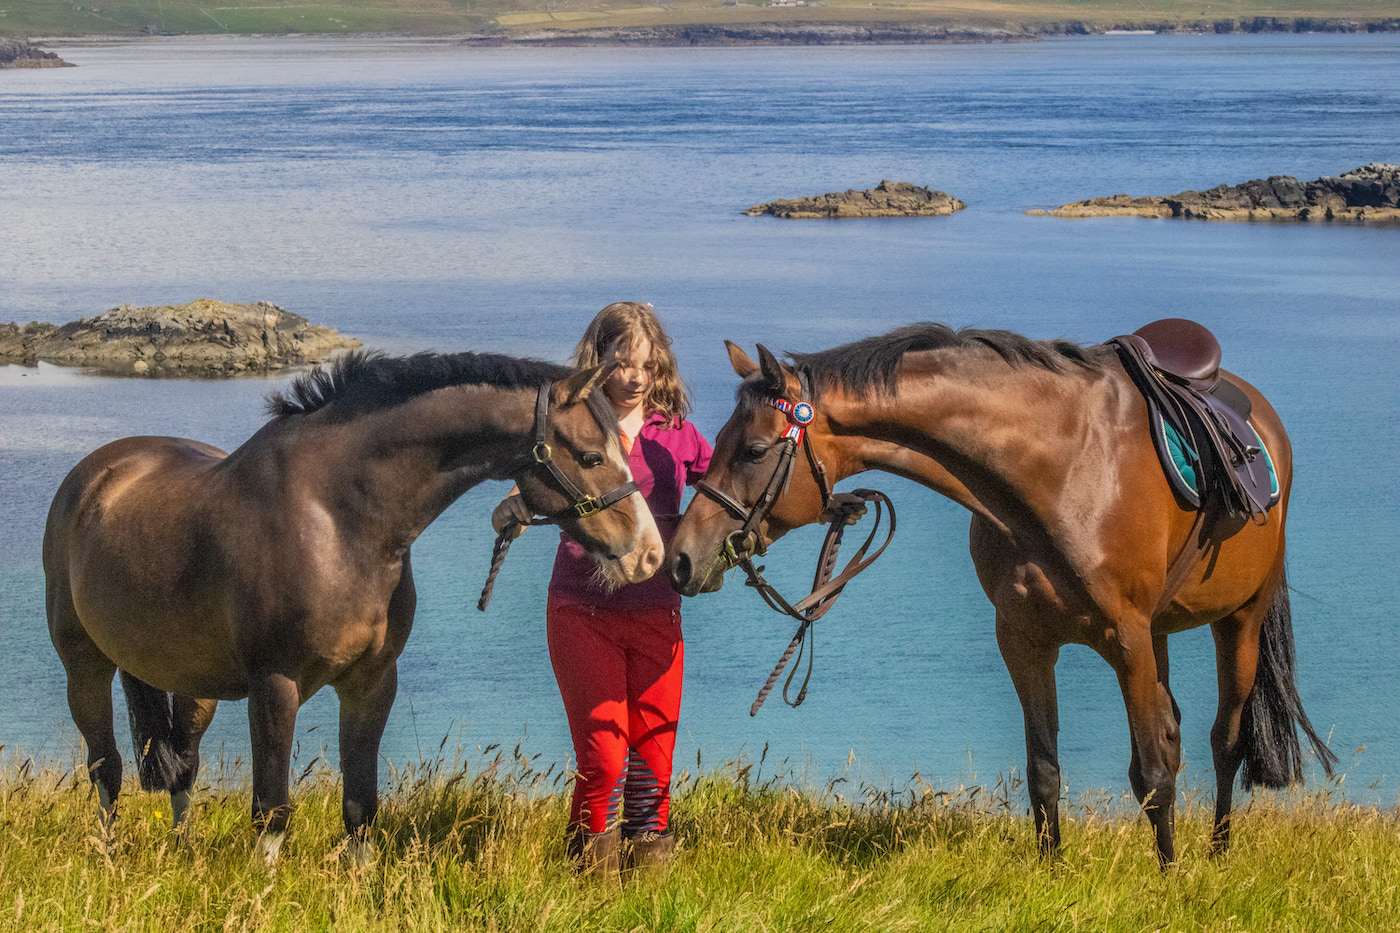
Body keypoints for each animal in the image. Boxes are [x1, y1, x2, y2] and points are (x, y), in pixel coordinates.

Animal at [44, 349, 663, 862]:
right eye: (591, 456)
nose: (648, 554)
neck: (337, 520)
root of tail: (98, 473)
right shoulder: (275, 686)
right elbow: (271, 811)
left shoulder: (371, 683)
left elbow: (361, 806)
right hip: (85, 670)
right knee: (107, 769)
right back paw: (107, 856)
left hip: (191, 683)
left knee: (182, 767)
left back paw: (183, 853)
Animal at [668, 323, 1336, 866]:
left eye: (754, 450)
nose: (682, 559)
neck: (1057, 470)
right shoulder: (1024, 638)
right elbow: (1045, 769)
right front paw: (1051, 871)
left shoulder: (1125, 636)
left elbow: (1151, 772)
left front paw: (1168, 880)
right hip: (1159, 636)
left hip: (1238, 621)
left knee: (1226, 741)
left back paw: (1218, 854)